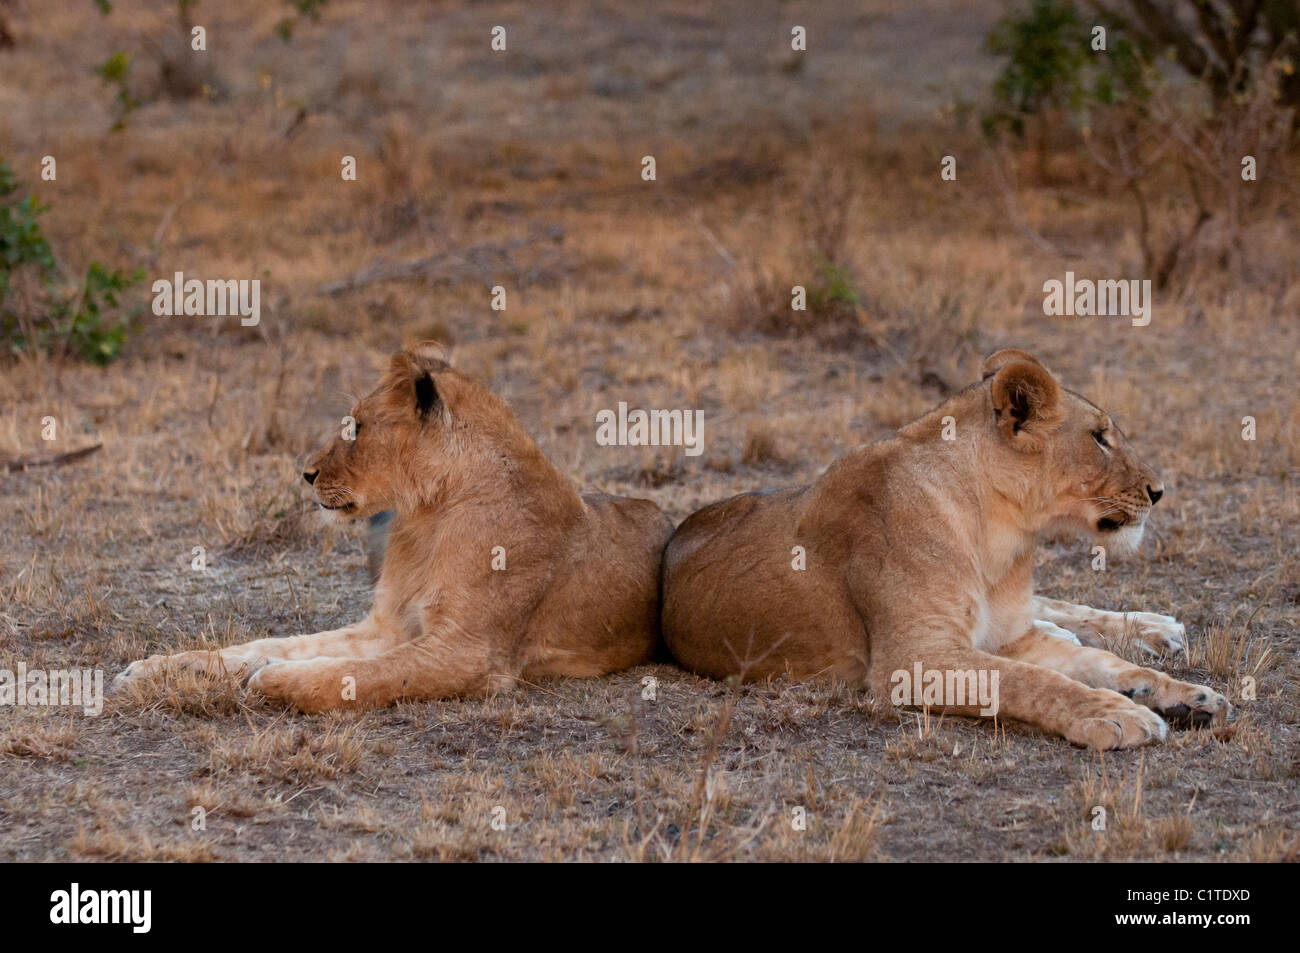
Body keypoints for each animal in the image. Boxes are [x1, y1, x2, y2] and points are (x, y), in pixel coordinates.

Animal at [116, 343, 673, 712]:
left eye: (356, 427)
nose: (306, 473)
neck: (429, 514)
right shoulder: (388, 626)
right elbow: (272, 644)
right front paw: (160, 667)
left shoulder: (469, 654)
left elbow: (359, 674)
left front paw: (271, 681)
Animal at [661, 348, 1228, 749]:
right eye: (1099, 437)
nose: (1158, 491)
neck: (1001, 535)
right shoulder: (915, 659)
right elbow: (1034, 682)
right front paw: (1118, 712)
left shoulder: (1009, 637)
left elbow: (1099, 663)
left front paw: (1186, 695)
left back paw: (1154, 628)